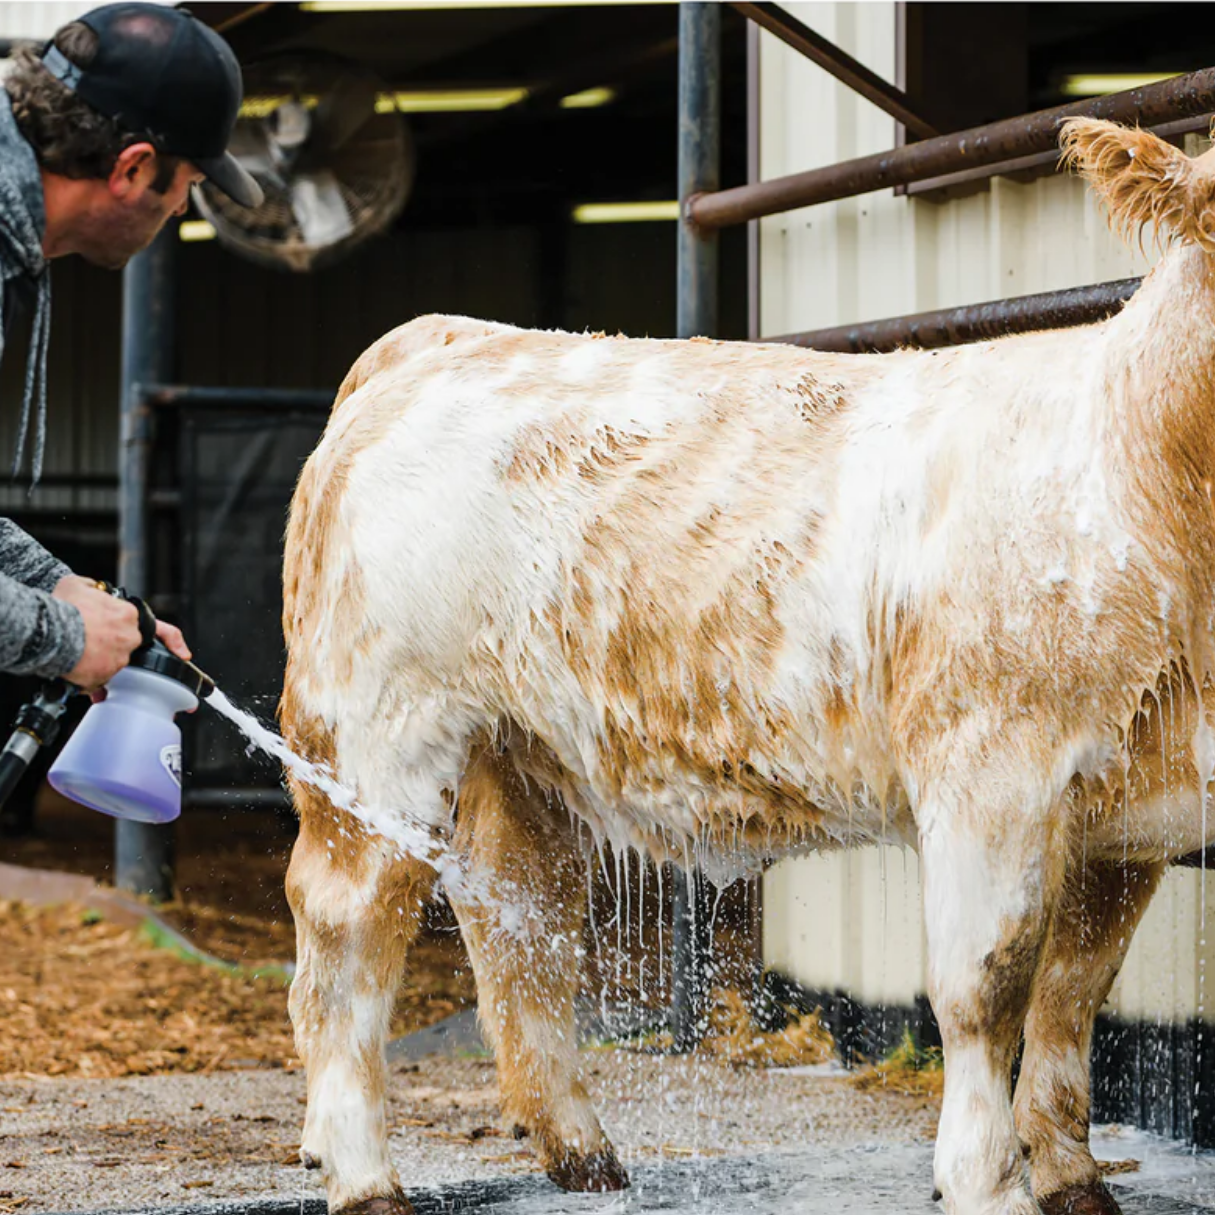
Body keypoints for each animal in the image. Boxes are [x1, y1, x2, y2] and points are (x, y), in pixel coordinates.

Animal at [280, 117, 1215, 1215]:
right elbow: (988, 985)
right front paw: (986, 1183)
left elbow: (1074, 990)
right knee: (346, 932)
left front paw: (1071, 1176)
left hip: (515, 751)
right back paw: (361, 1172)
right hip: (374, 739)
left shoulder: (1129, 811)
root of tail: (447, 337)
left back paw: (579, 1149)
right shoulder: (989, 770)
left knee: (517, 916)